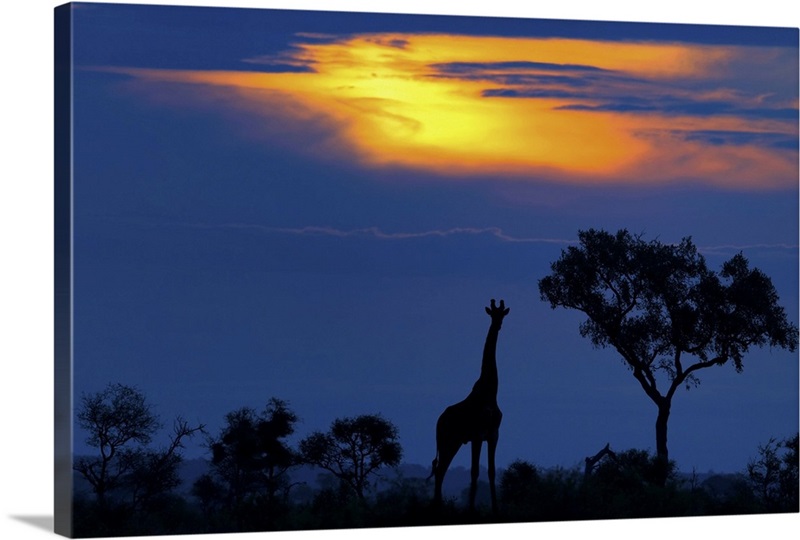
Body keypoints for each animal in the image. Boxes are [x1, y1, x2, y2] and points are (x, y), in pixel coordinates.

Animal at [430, 298, 509, 512]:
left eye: (502, 314)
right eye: (492, 314)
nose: (498, 325)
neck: (490, 393)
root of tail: (438, 421)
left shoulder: (493, 435)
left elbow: (491, 471)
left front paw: (496, 508)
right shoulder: (477, 435)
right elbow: (474, 471)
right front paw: (472, 509)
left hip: (455, 441)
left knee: (441, 469)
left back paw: (439, 506)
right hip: (447, 440)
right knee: (440, 469)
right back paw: (438, 506)